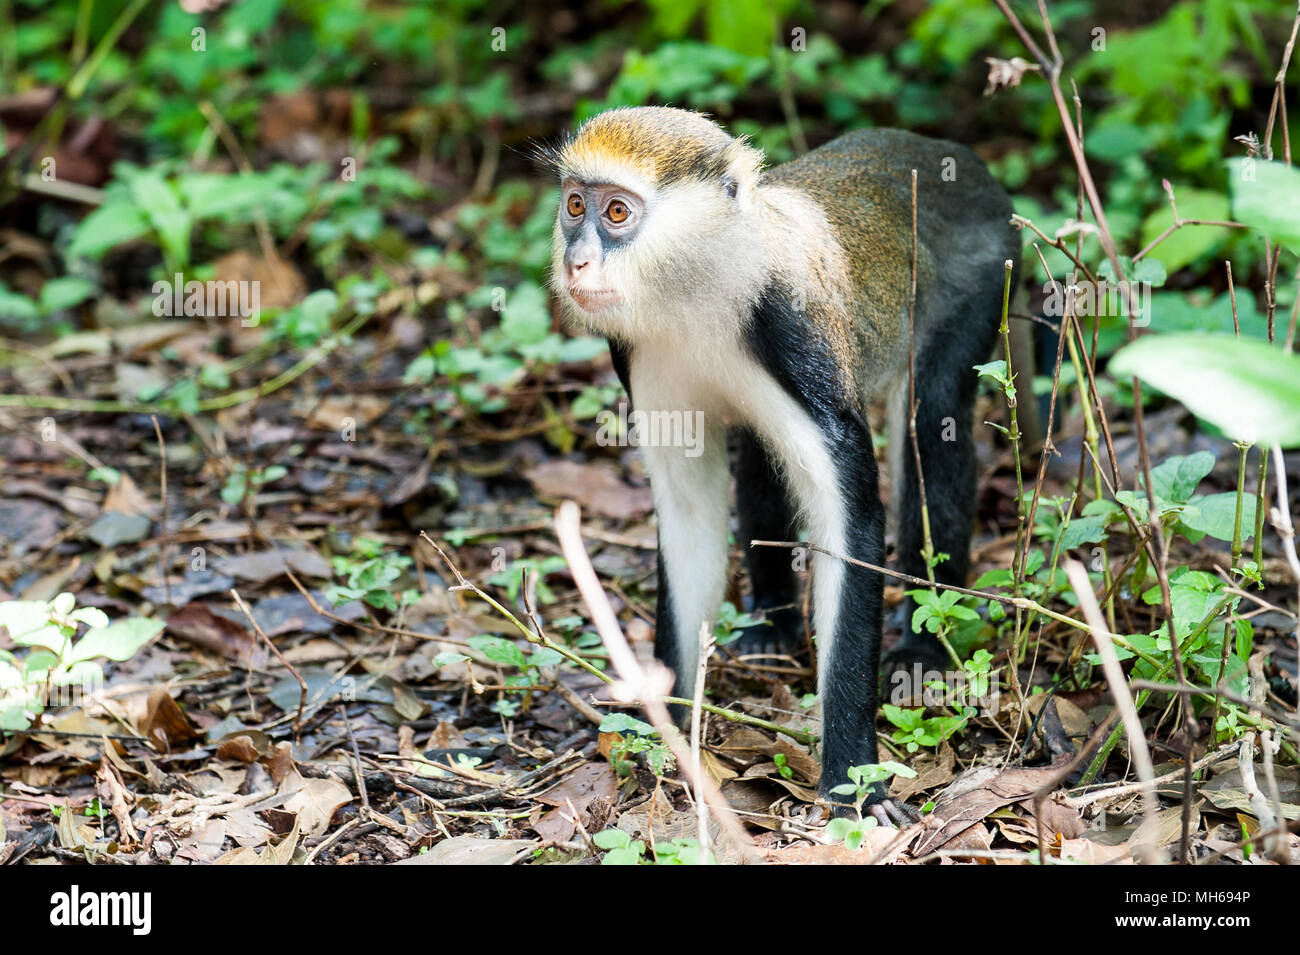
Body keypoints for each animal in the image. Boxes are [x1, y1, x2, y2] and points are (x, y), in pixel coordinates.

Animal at [543, 106, 1017, 820]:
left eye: (617, 213)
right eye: (575, 205)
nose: (578, 261)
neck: (704, 286)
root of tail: (953, 155)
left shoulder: (790, 334)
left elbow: (851, 516)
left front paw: (853, 780)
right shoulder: (639, 351)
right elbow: (689, 513)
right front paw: (669, 733)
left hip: (982, 277)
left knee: (934, 417)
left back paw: (925, 646)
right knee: (761, 454)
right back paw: (772, 620)